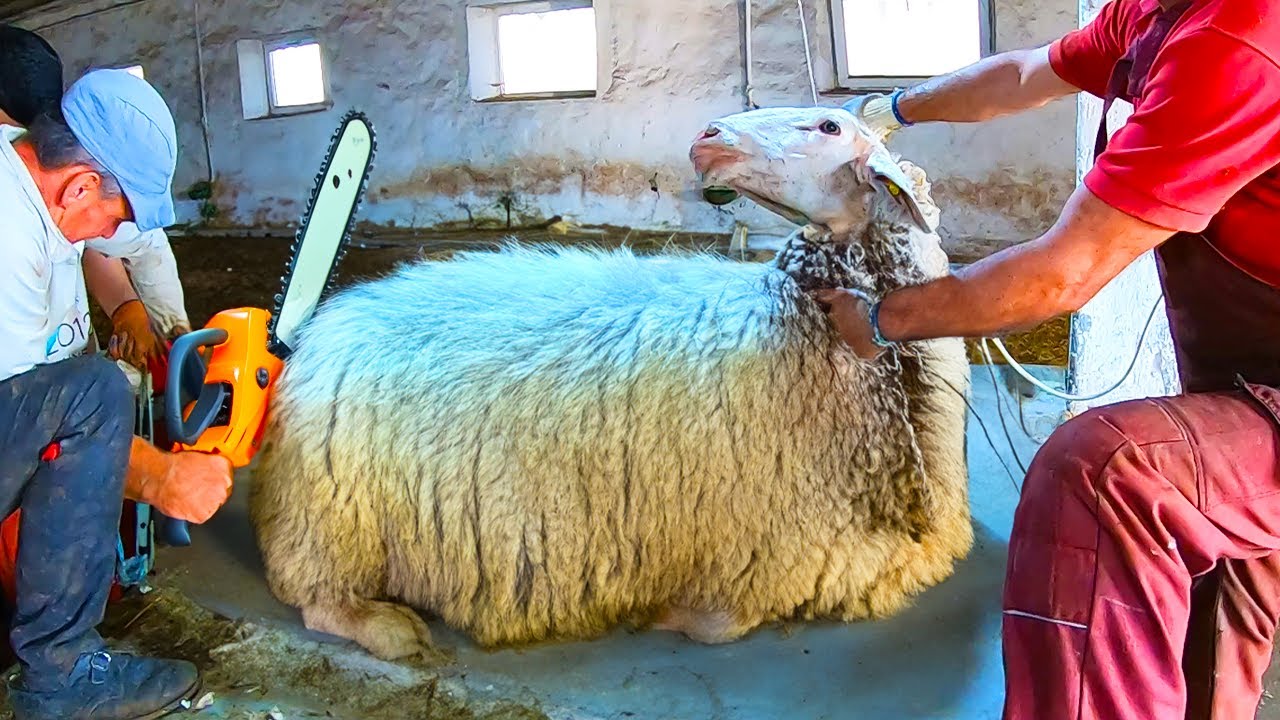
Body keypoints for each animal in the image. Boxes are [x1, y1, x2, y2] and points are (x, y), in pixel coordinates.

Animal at [248, 105, 972, 660]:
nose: (709, 136)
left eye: (827, 125)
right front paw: (664, 614)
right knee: (316, 599)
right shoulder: (760, 554)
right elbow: (718, 627)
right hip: (335, 522)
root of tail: (319, 328)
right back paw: (389, 629)